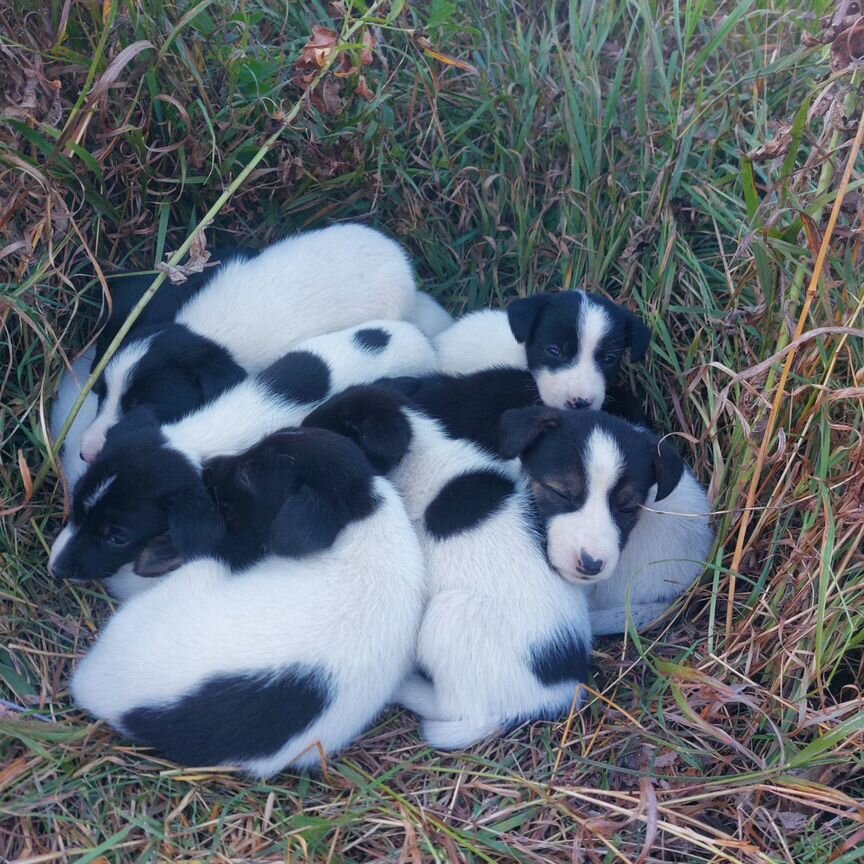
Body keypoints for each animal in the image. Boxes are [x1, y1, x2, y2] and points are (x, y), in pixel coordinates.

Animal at [300, 384, 592, 748]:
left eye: (345, 427)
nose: (298, 428)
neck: (423, 453)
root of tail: (547, 699)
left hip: (448, 617)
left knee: (453, 707)